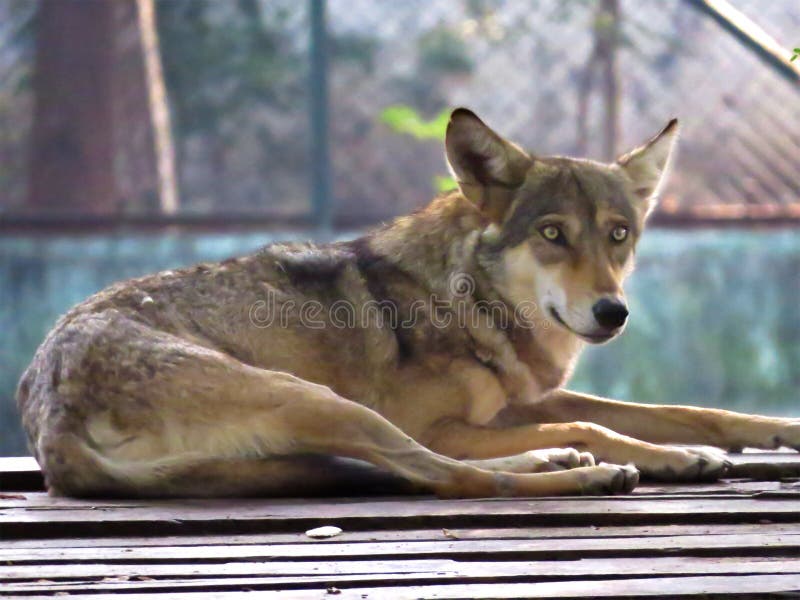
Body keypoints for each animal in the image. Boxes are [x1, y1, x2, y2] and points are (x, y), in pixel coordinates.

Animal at [17, 108, 800, 498]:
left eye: (618, 235)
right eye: (552, 234)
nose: (613, 312)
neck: (468, 298)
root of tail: (50, 417)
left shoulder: (517, 402)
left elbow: (679, 410)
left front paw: (765, 431)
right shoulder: (449, 422)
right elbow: (602, 425)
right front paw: (663, 457)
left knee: (434, 469)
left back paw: (554, 460)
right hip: (324, 401)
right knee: (449, 478)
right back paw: (582, 475)